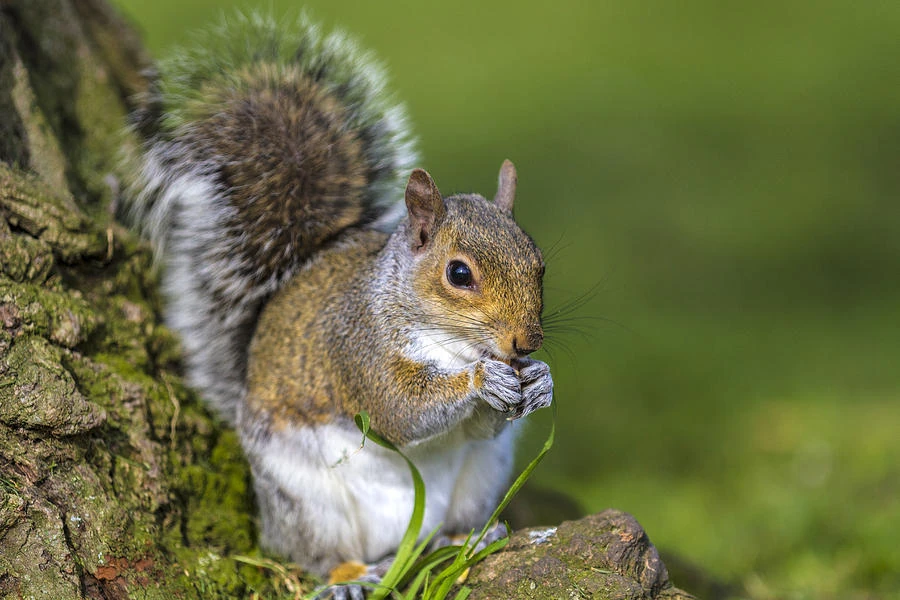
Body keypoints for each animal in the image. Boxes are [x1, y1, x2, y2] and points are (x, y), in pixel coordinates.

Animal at [124, 12, 553, 597]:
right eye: (459, 273)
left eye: (540, 263)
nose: (525, 343)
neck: (452, 343)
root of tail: (397, 546)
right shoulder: (358, 348)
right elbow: (399, 412)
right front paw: (482, 380)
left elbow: (481, 425)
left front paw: (541, 380)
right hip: (305, 502)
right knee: (313, 553)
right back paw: (348, 575)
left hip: (480, 476)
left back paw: (465, 537)